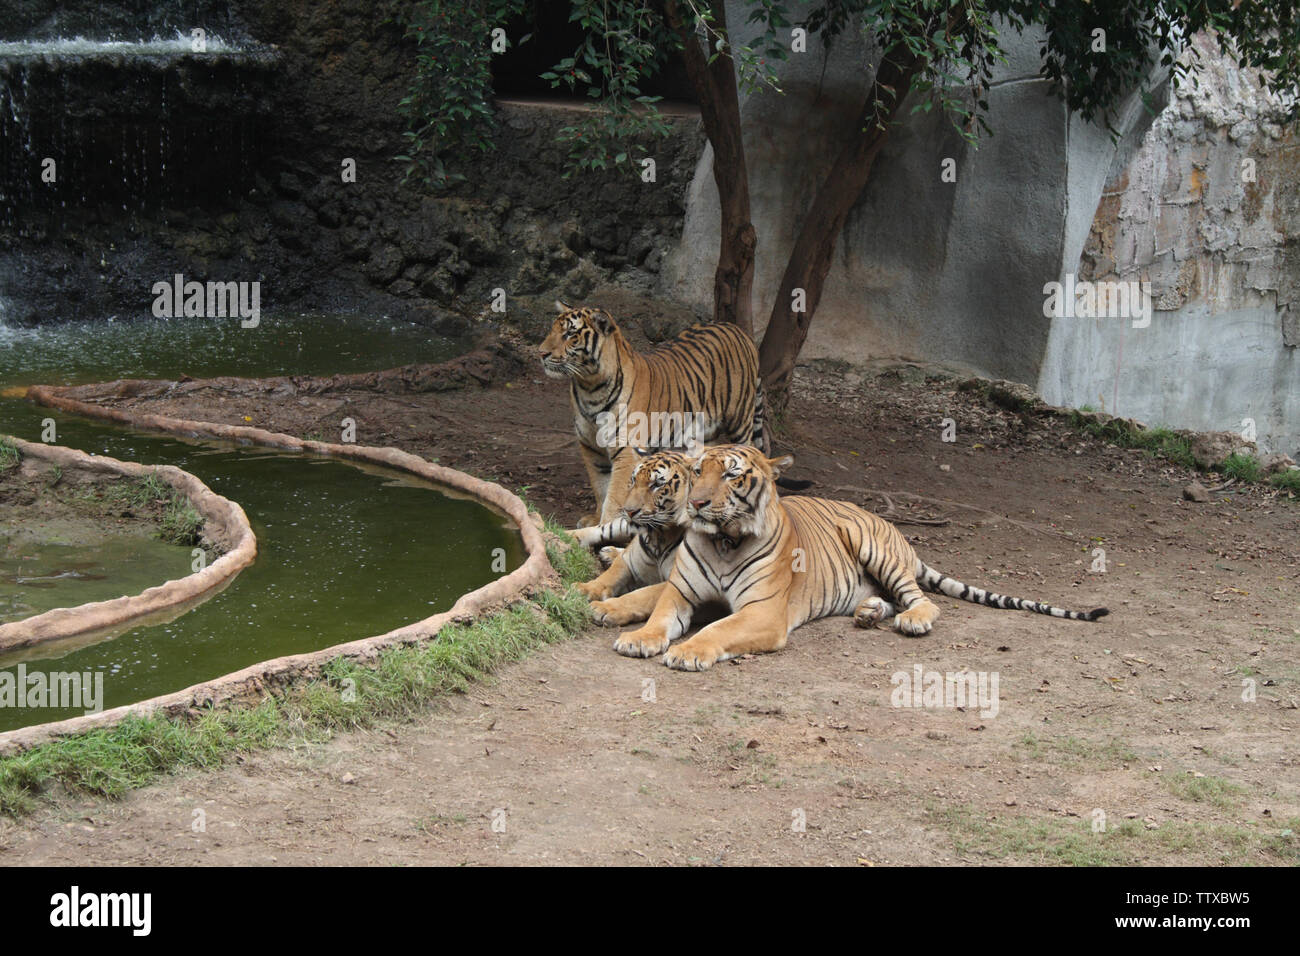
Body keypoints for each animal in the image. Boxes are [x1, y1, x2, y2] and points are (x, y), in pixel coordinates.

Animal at [538, 301, 772, 524]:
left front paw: (603, 525)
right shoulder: (590, 447)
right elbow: (600, 487)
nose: (541, 353)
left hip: (740, 421)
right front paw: (595, 519)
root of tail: (739, 330)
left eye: (570, 333)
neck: (589, 386)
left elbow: (614, 495)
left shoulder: (626, 450)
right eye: (552, 330)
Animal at [571, 448, 694, 626]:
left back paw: (609, 553)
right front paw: (584, 588)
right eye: (634, 480)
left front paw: (604, 608)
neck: (660, 535)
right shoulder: (628, 561)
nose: (629, 511)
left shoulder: (680, 582)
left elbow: (641, 595)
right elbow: (608, 576)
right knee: (603, 528)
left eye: (657, 484)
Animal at [611, 444, 1108, 671]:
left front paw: (688, 651)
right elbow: (657, 616)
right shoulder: (680, 594)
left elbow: (719, 628)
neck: (723, 540)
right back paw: (869, 612)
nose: (696, 504)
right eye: (698, 471)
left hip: (874, 549)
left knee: (921, 600)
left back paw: (912, 620)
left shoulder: (762, 613)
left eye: (732, 475)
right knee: (887, 597)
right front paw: (638, 639)